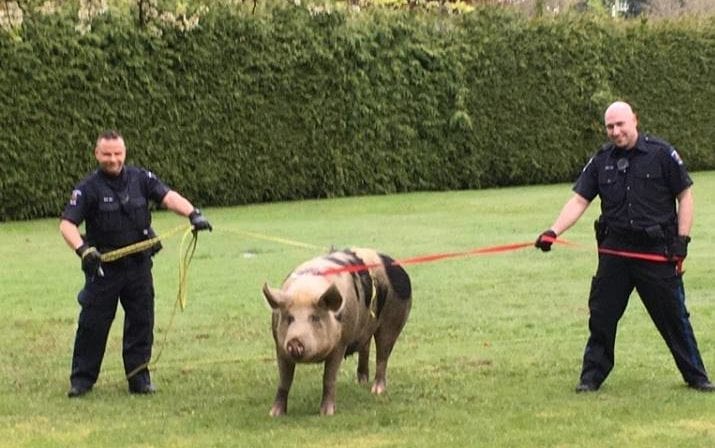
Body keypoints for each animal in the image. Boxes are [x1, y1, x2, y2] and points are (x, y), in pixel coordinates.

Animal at [262, 248, 412, 416]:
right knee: (365, 347)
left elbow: (329, 378)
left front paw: (326, 413)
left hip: (393, 321)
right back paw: (360, 383)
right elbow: (284, 380)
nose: (294, 341)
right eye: (289, 318)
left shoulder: (340, 343)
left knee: (382, 355)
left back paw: (377, 391)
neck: (306, 291)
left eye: (315, 318)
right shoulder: (280, 346)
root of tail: (395, 264)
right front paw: (274, 414)